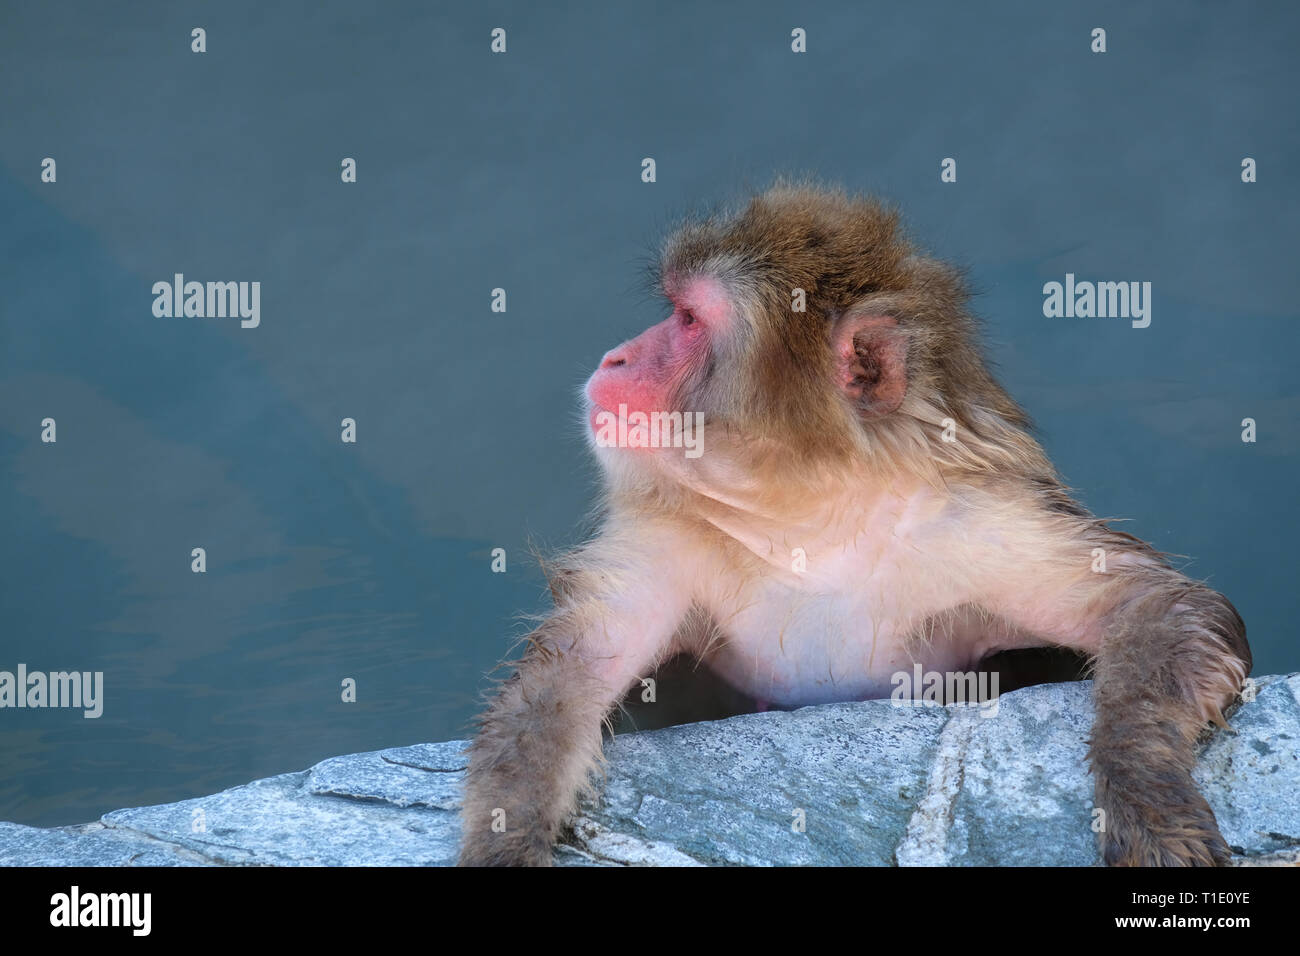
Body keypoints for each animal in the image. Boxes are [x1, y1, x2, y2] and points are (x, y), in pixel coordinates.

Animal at [458, 182, 1251, 867]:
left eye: (687, 320)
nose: (614, 356)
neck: (812, 523)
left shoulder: (982, 525)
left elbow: (1162, 604)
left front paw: (1148, 796)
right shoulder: (666, 540)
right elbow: (573, 670)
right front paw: (504, 842)